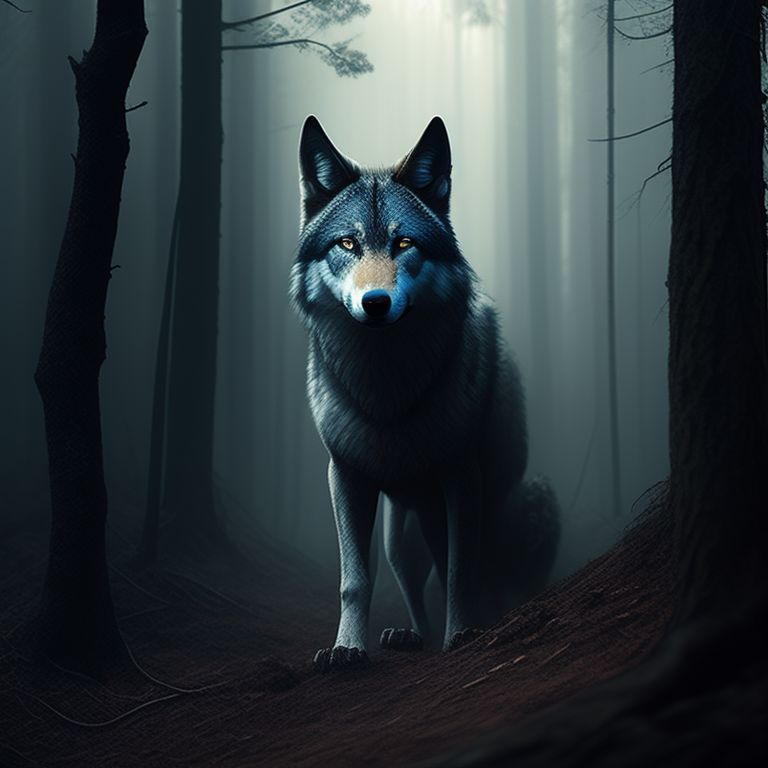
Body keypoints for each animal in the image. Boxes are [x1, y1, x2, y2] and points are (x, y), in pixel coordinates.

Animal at [291, 116, 560, 672]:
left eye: (404, 244)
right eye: (347, 244)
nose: (375, 303)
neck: (387, 391)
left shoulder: (462, 477)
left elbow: (460, 571)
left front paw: (463, 636)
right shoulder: (344, 476)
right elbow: (354, 580)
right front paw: (347, 648)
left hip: (526, 504)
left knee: (495, 577)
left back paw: (481, 621)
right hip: (401, 539)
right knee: (413, 581)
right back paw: (409, 636)